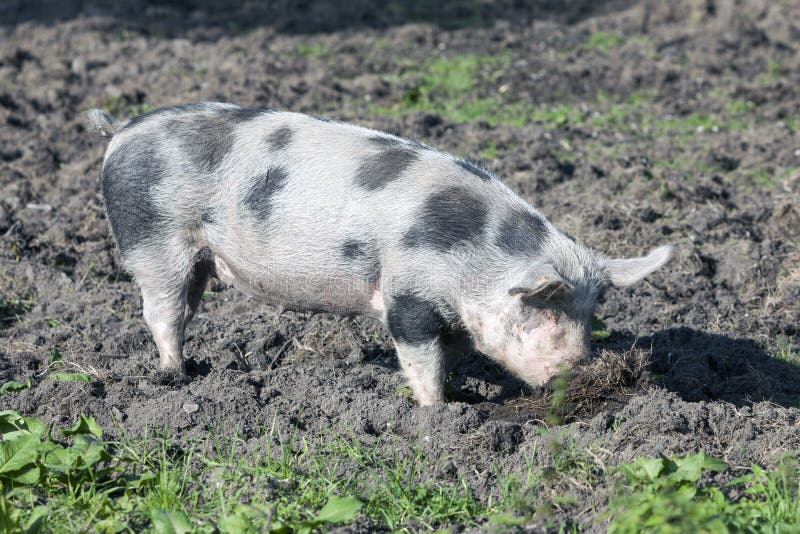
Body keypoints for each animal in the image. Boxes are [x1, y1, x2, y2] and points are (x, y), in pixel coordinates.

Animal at [87, 102, 672, 406]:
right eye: (544, 312)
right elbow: (420, 358)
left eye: (590, 315)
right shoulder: (407, 292)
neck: (476, 257)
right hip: (153, 239)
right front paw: (439, 415)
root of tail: (124, 129)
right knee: (161, 312)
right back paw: (176, 377)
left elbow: (447, 356)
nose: (580, 373)